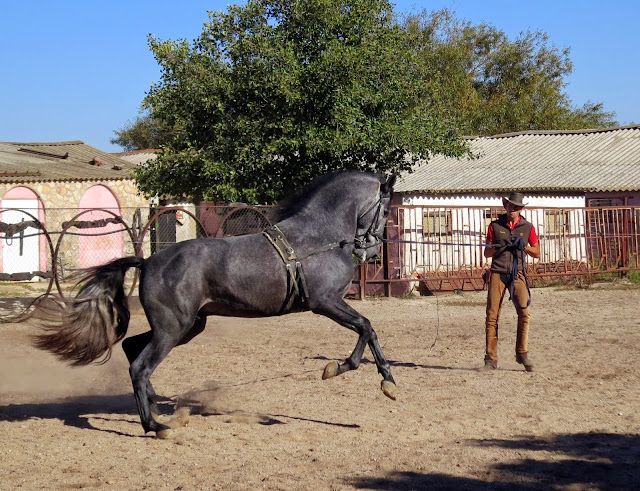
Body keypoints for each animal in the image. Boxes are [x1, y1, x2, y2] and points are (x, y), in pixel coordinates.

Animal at [34, 170, 397, 439]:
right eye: (385, 208)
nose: (371, 248)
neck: (320, 237)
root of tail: (147, 262)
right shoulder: (325, 302)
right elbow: (366, 327)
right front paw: (349, 371)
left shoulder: (331, 303)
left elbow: (369, 330)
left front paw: (382, 379)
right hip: (173, 329)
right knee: (139, 365)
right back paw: (155, 426)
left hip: (186, 327)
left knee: (131, 348)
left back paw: (156, 404)